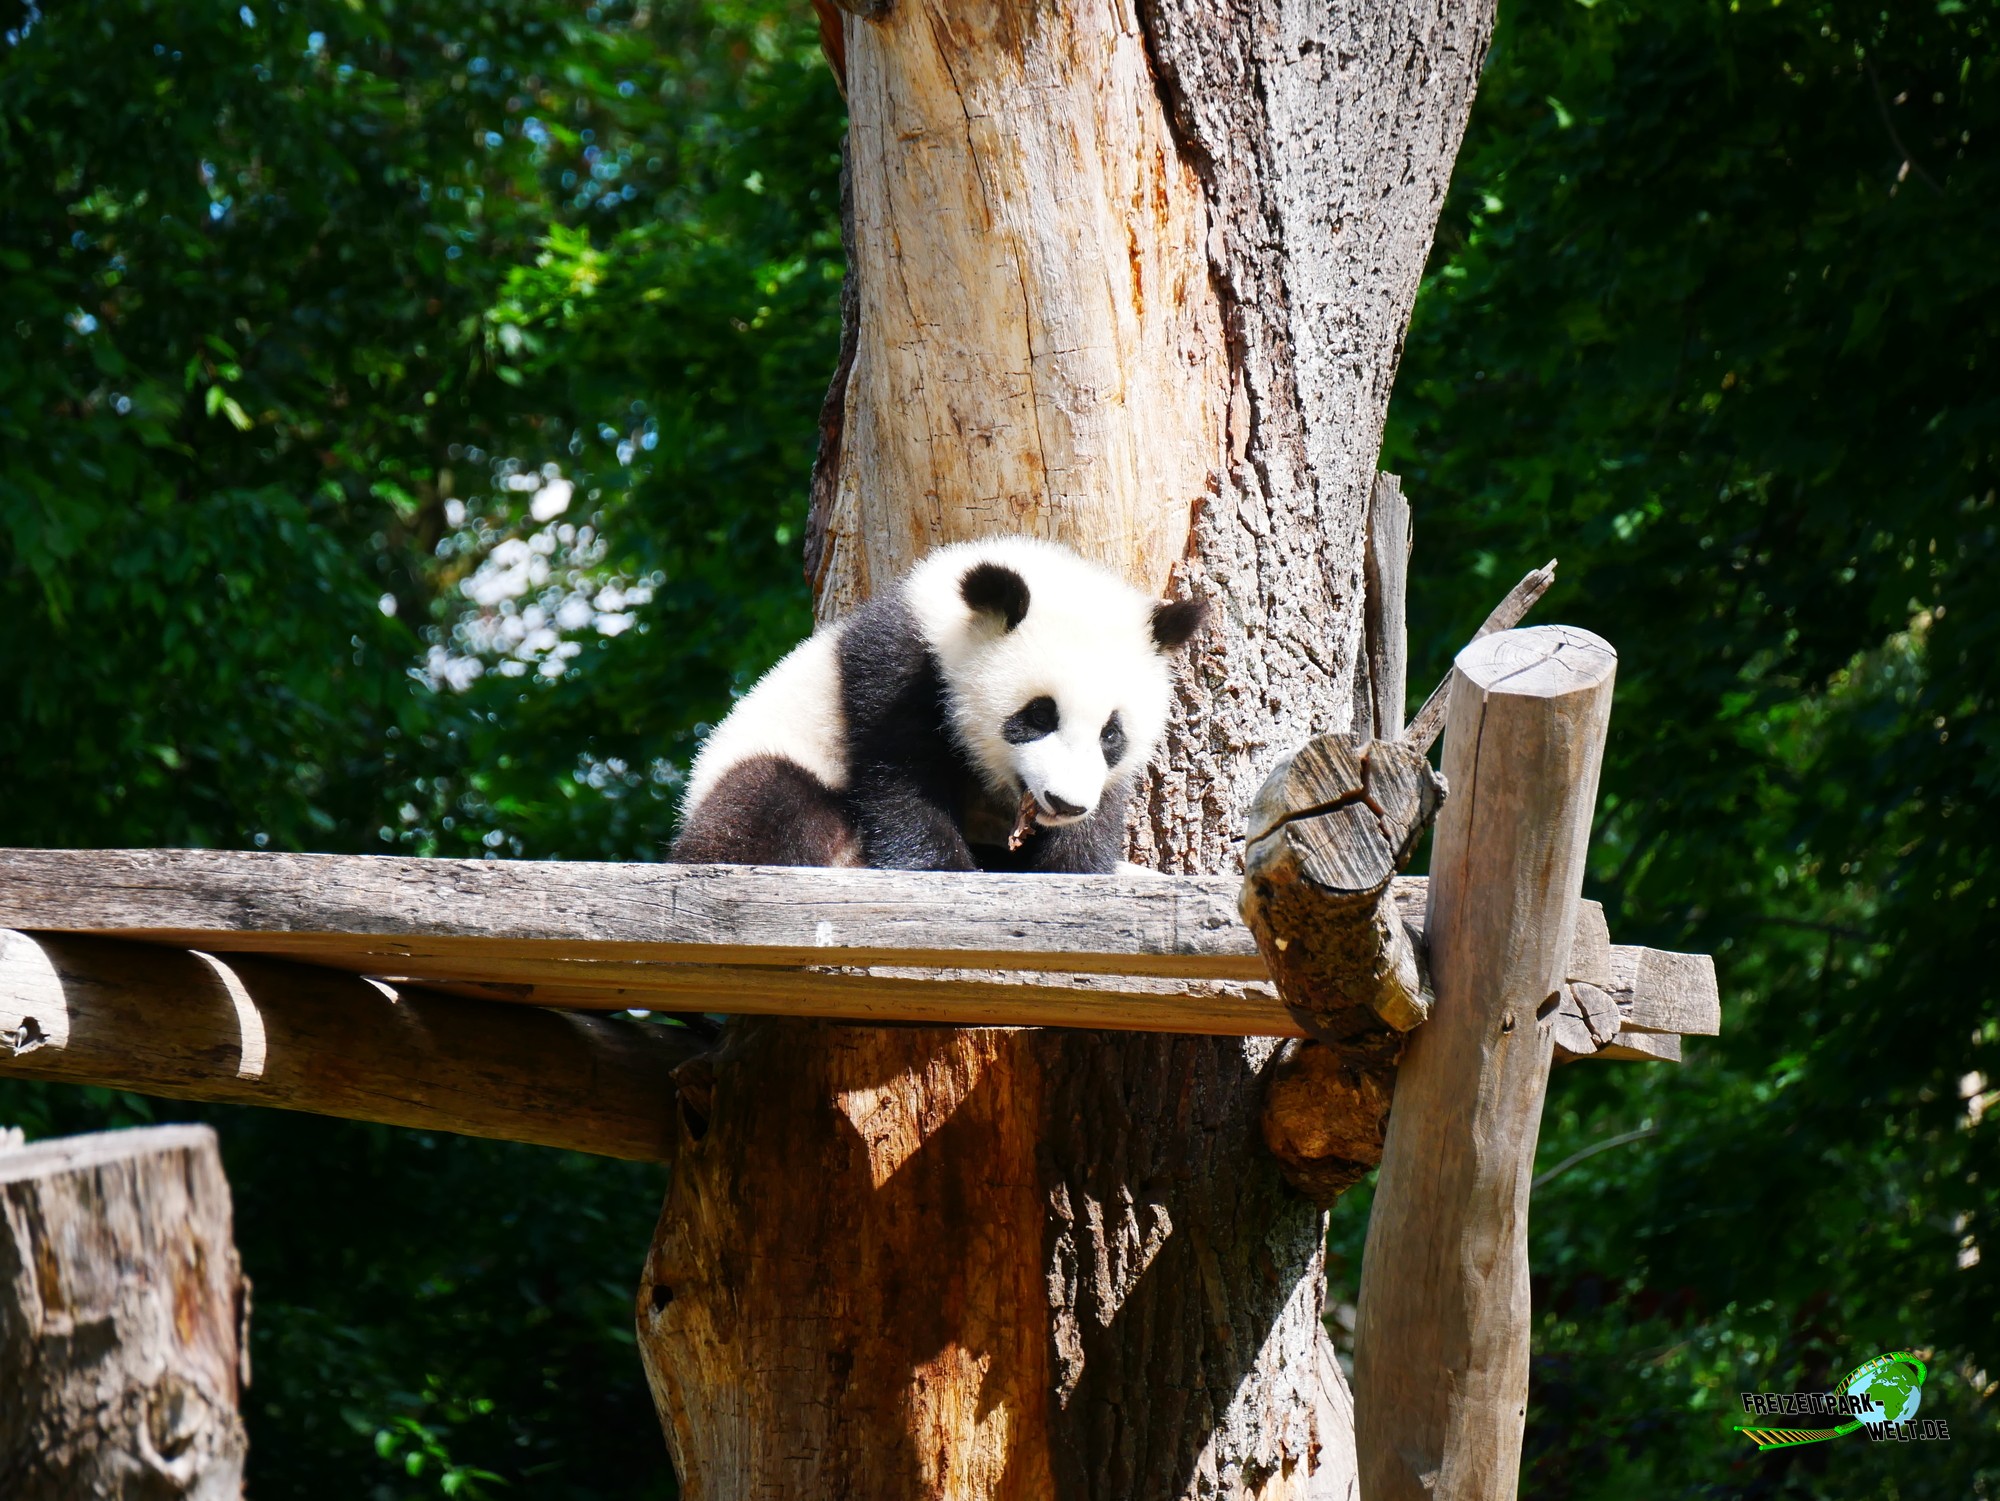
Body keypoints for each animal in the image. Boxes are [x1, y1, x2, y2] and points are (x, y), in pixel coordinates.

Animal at [671, 536, 1206, 874]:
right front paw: (940, 865)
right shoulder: (895, 671)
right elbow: (900, 781)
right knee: (767, 801)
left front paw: (1075, 863)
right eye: (1038, 715)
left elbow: (1100, 813)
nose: (1064, 803)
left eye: (1111, 734)